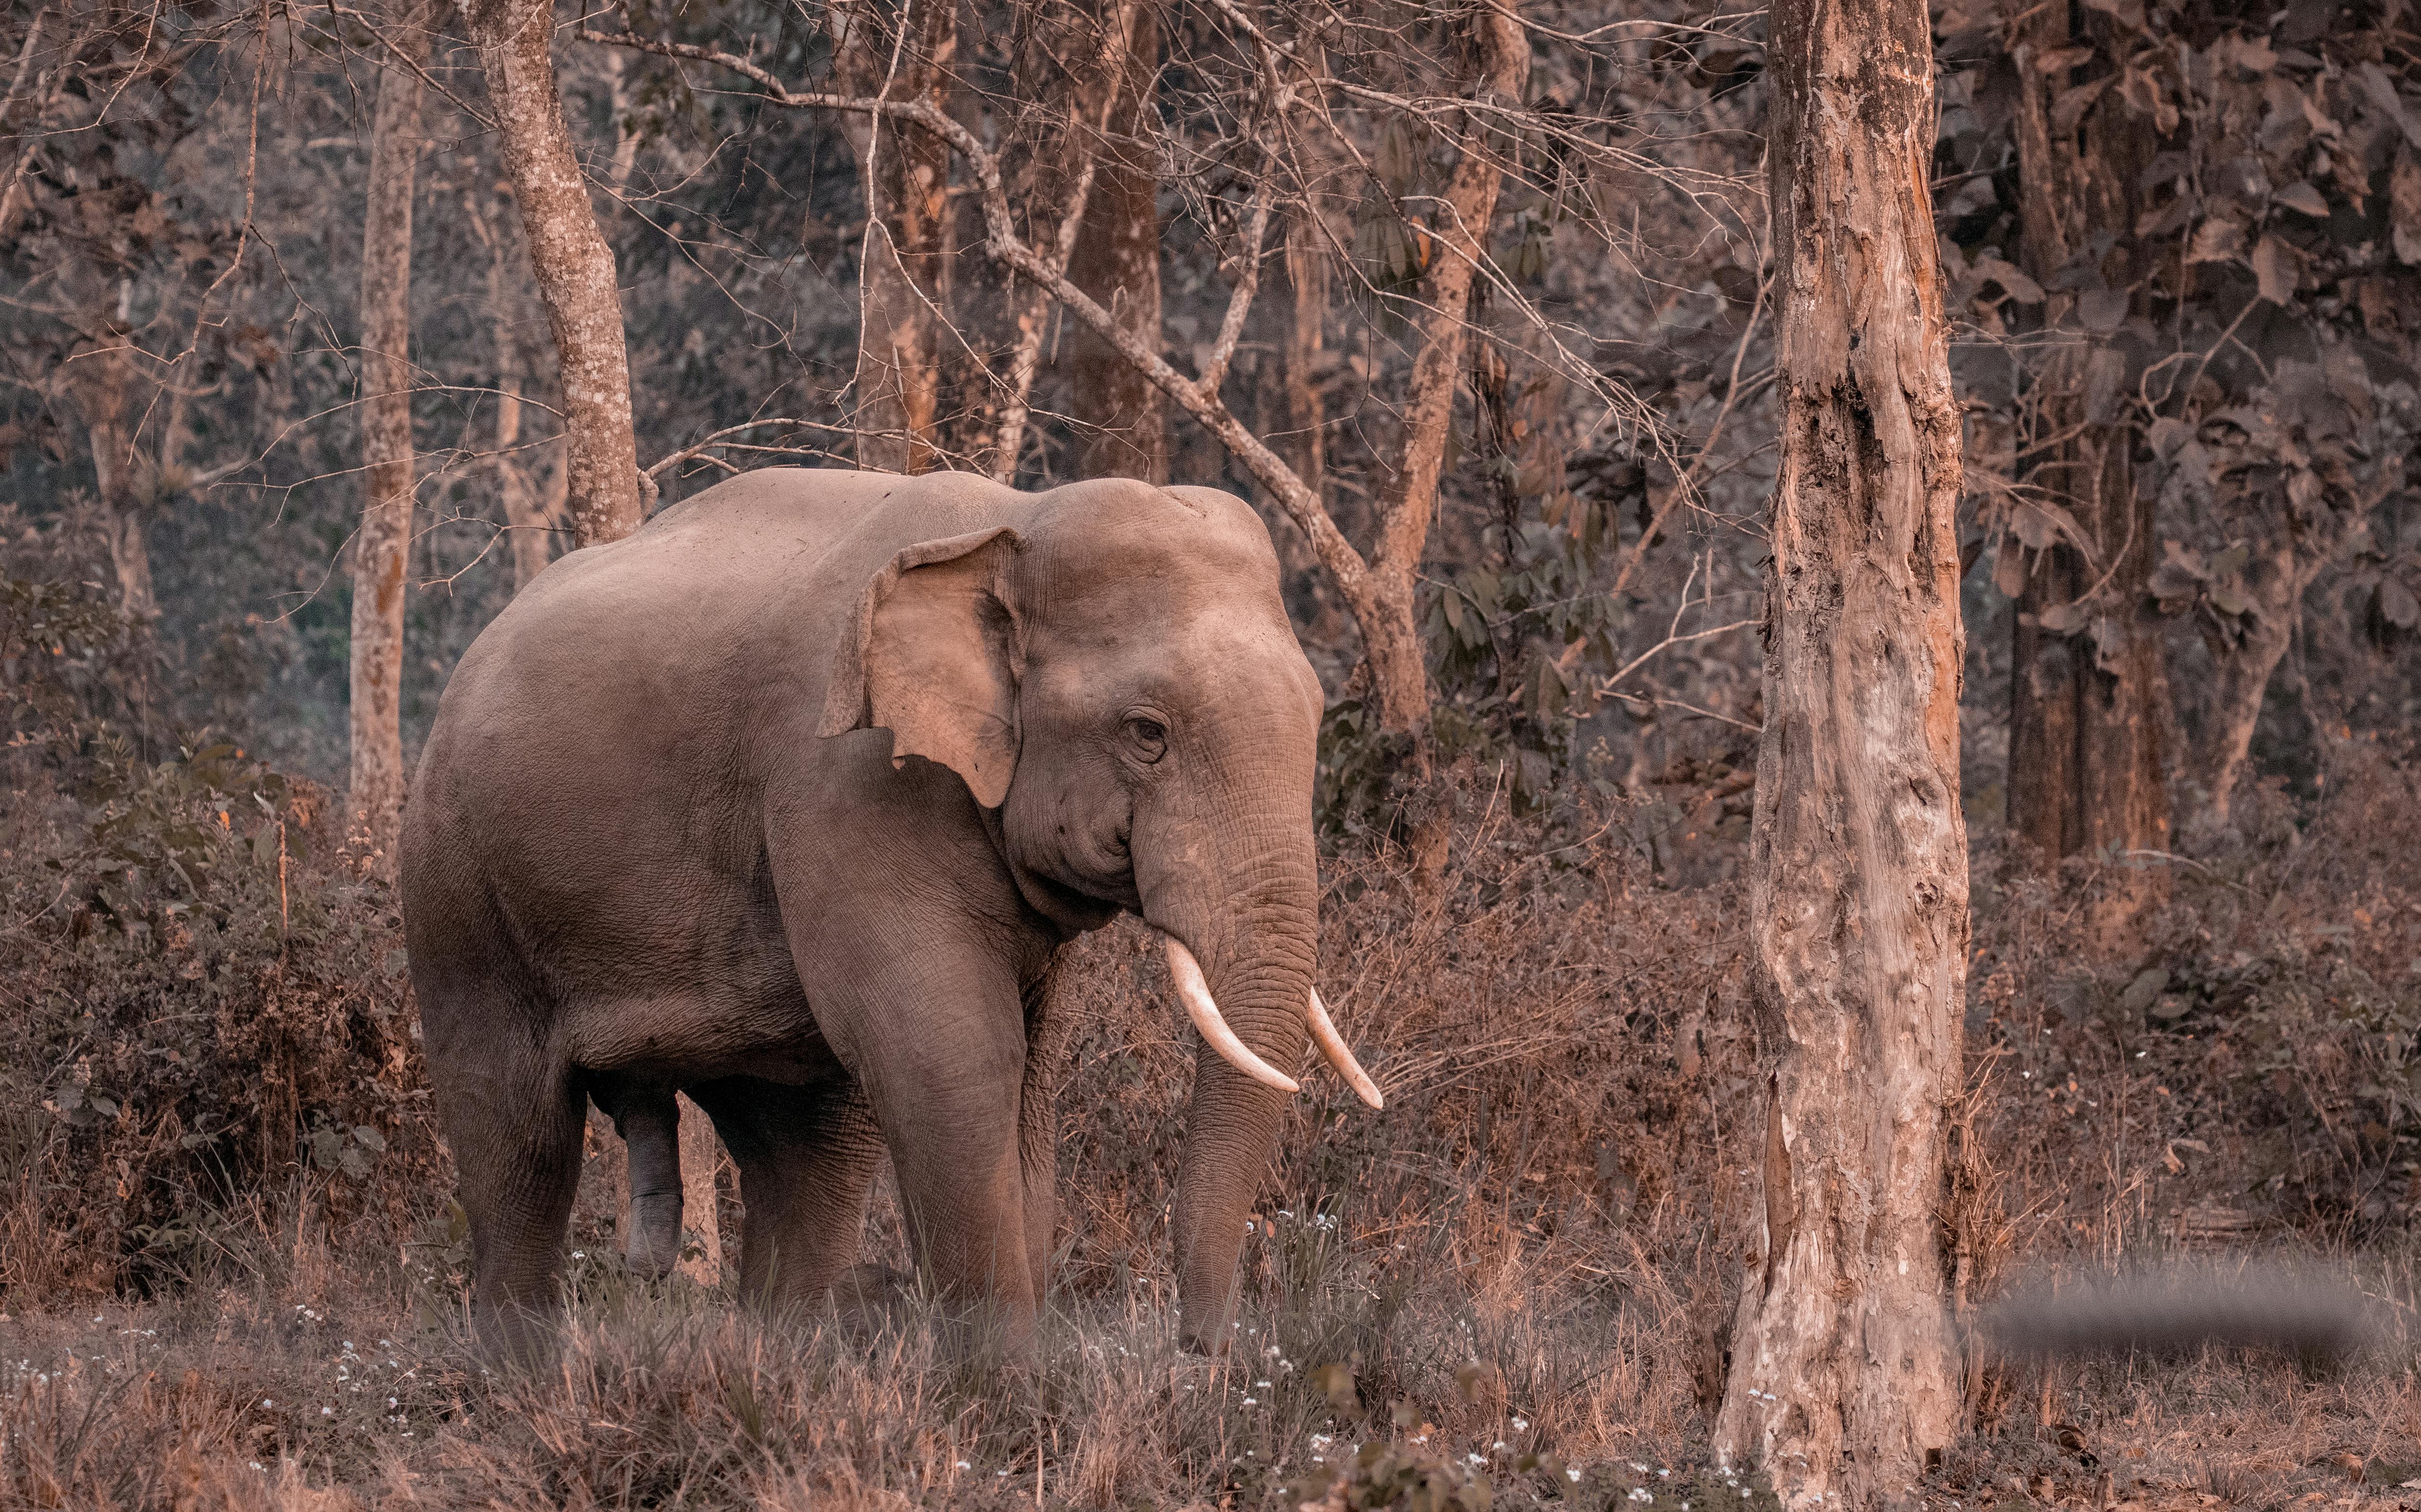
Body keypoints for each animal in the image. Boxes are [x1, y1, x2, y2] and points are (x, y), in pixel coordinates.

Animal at [400, 466, 1381, 1360]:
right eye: (1148, 732)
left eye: (1316, 715)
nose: (1201, 1352)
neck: (1010, 524)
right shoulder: (851, 784)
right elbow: (952, 1052)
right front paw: (1005, 1389)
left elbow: (1027, 1070)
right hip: (457, 892)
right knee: (517, 1136)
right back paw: (522, 1385)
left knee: (806, 1147)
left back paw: (780, 1365)